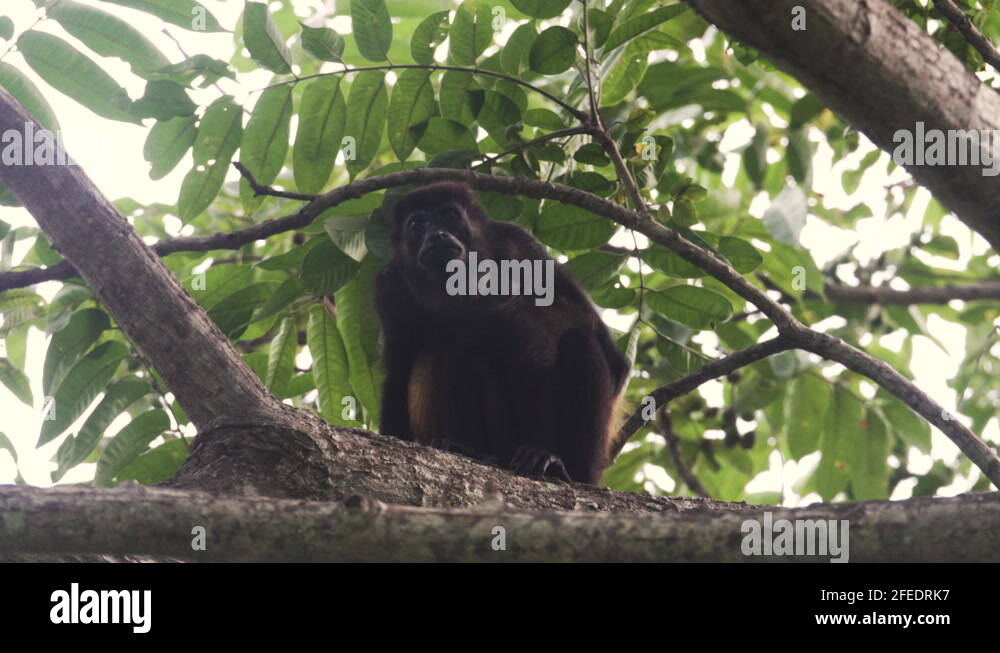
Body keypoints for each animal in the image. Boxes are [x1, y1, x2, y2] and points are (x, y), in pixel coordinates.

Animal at [374, 182, 629, 484]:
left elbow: (611, 355)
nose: (436, 235)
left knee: (582, 342)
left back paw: (557, 464)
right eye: (417, 225)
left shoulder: (518, 242)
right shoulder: (390, 286)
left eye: (450, 217)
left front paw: (500, 308)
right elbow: (398, 373)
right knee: (453, 346)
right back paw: (467, 449)